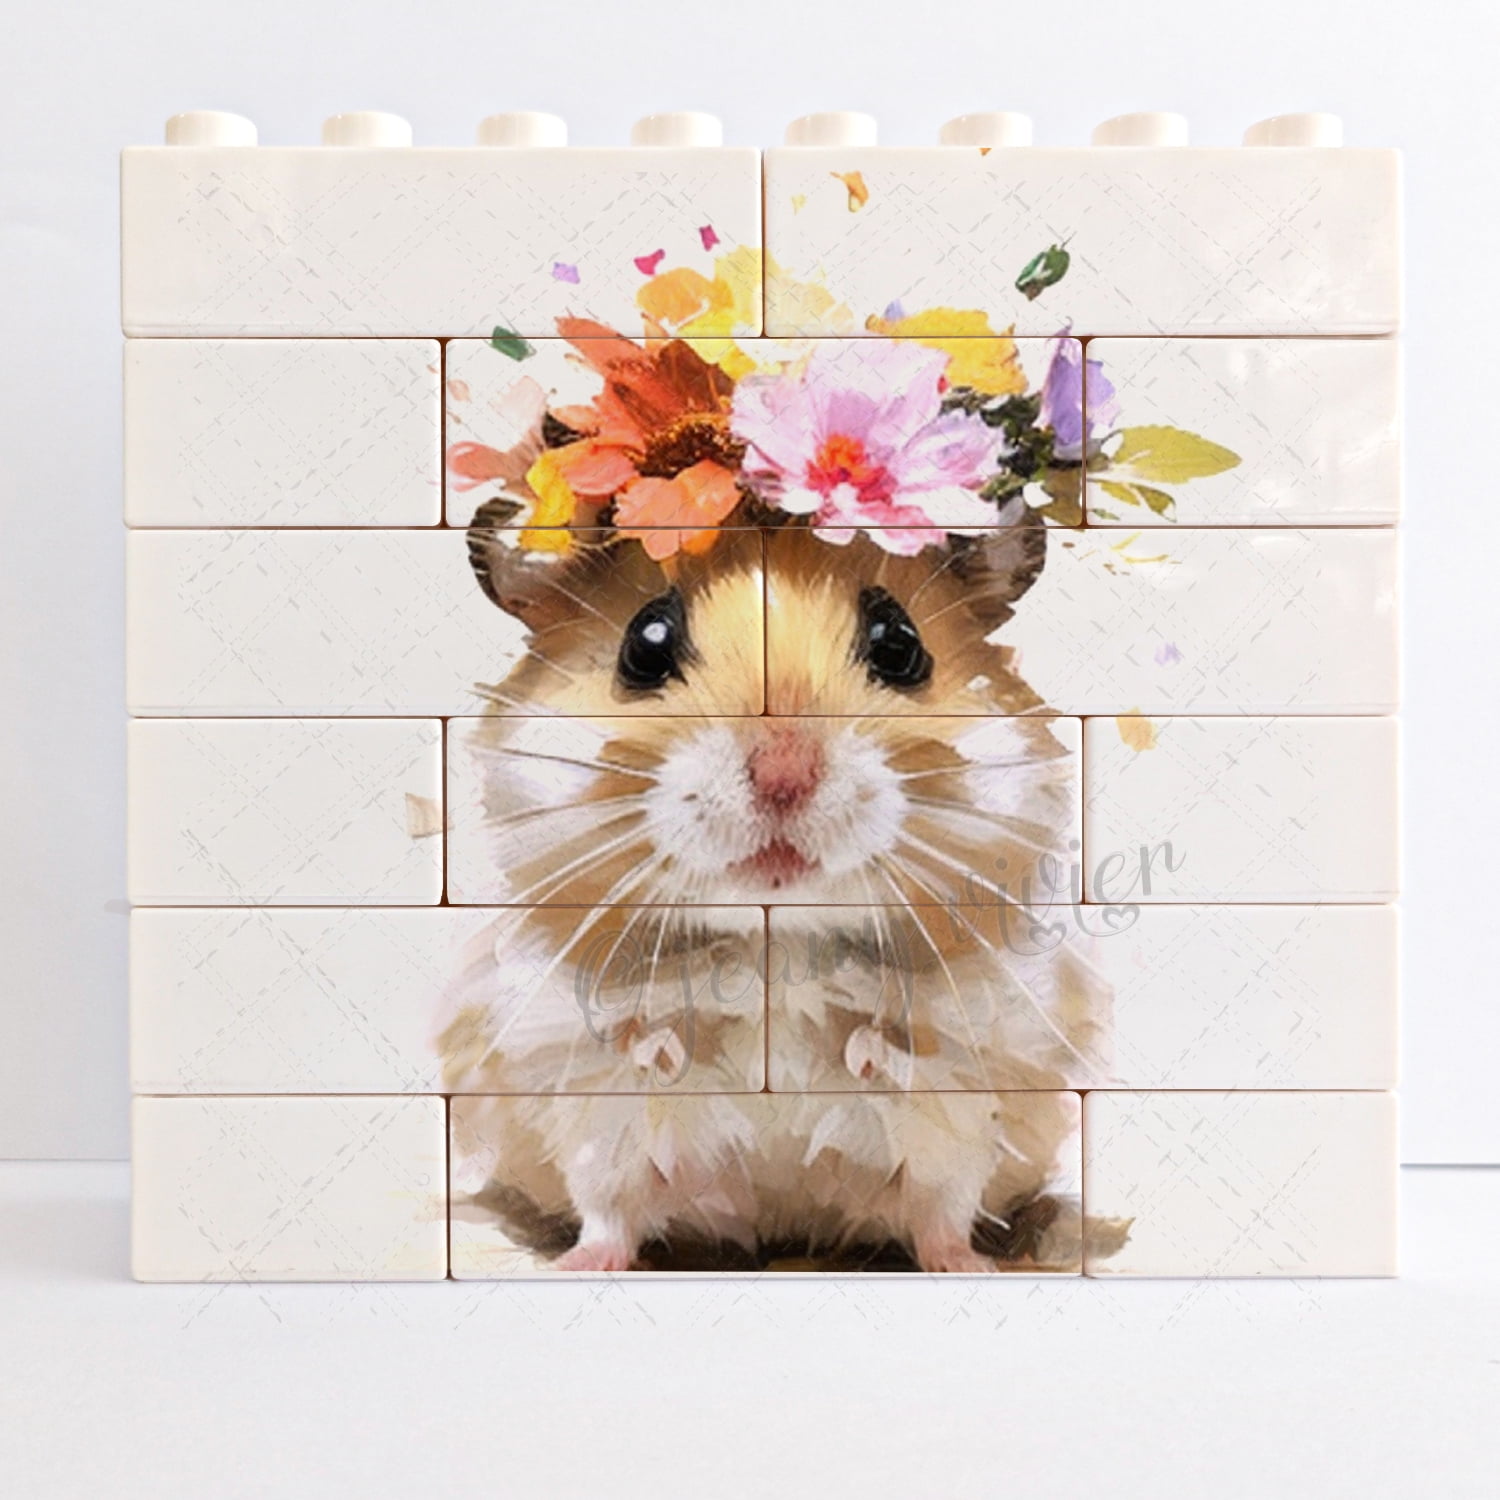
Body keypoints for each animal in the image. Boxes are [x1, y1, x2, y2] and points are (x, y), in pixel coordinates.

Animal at [439, 499, 1111, 1272]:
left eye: (899, 644)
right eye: (646, 643)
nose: (784, 778)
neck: (775, 946)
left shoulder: (963, 1087)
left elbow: (942, 1203)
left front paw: (968, 1266)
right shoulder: (593, 1090)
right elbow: (609, 1205)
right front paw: (578, 1267)